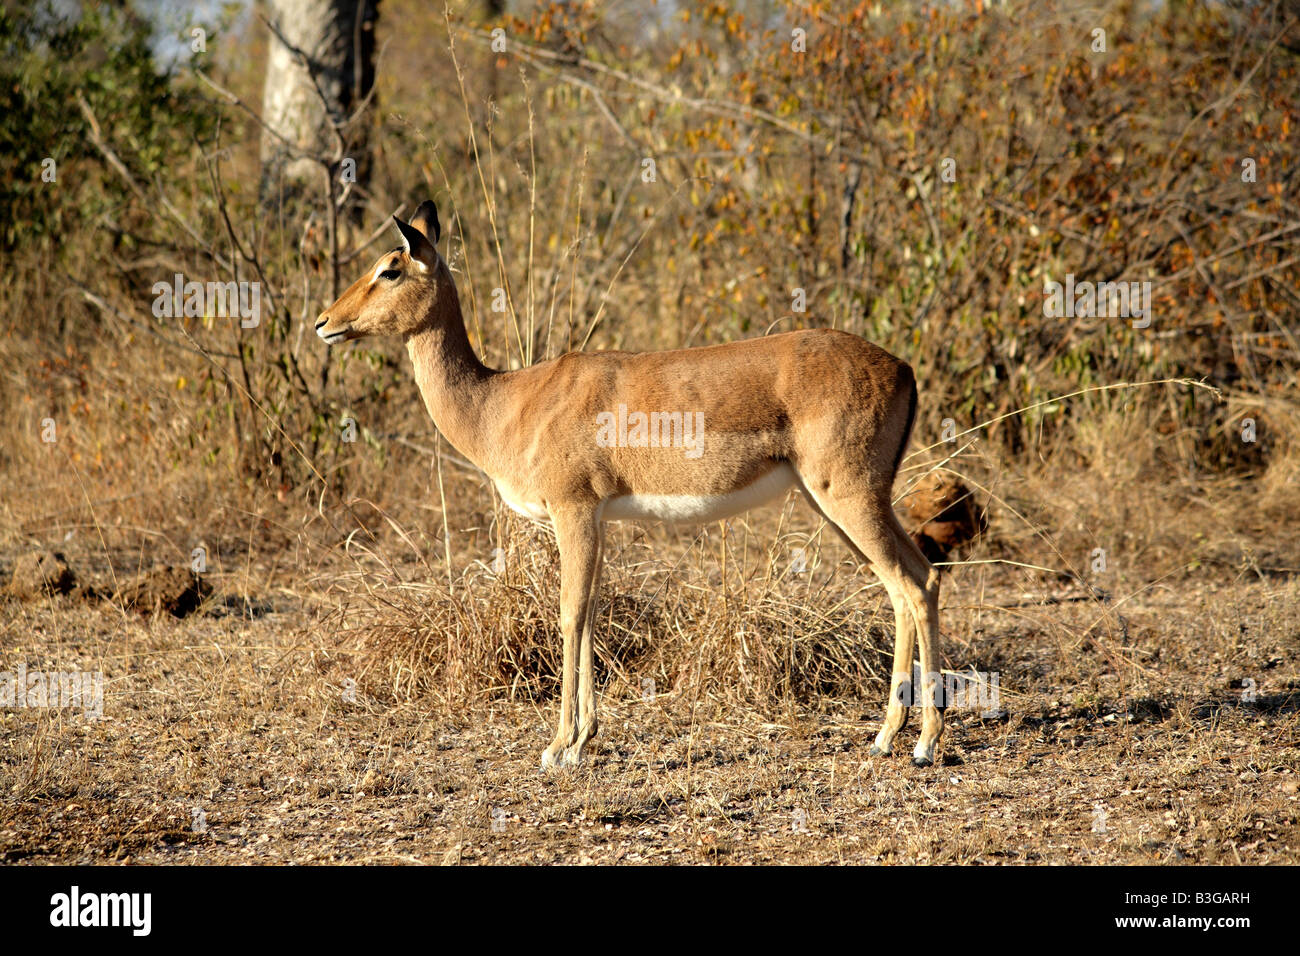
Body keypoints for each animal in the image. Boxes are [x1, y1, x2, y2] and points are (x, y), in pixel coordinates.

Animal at [316, 199, 944, 769]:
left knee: (913, 584)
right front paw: (583, 740)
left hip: (849, 496)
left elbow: (570, 612)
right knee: (914, 580)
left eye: (390, 268)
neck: (506, 403)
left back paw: (921, 744)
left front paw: (558, 747)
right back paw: (888, 736)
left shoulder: (572, 509)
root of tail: (903, 368)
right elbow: (592, 611)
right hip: (838, 504)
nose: (324, 322)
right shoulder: (596, 518)